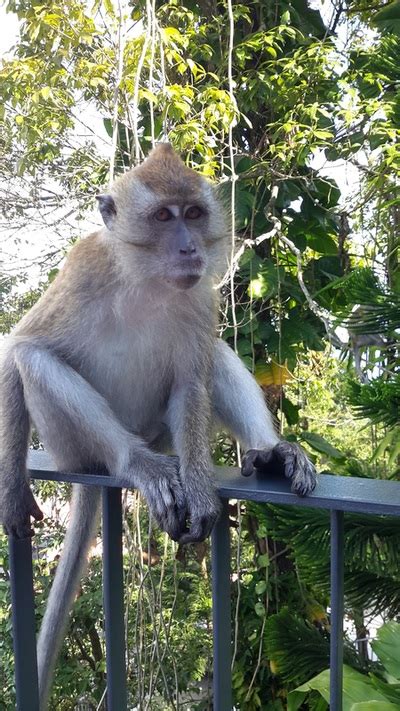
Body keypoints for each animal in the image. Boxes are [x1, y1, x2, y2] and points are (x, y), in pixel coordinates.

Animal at [0, 144, 316, 708]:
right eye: (164, 218)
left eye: (192, 213)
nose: (190, 249)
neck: (146, 279)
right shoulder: (84, 267)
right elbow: (20, 347)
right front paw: (12, 486)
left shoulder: (202, 295)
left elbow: (191, 381)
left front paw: (202, 490)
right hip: (69, 446)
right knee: (36, 361)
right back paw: (137, 465)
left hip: (163, 433)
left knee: (213, 355)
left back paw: (270, 453)